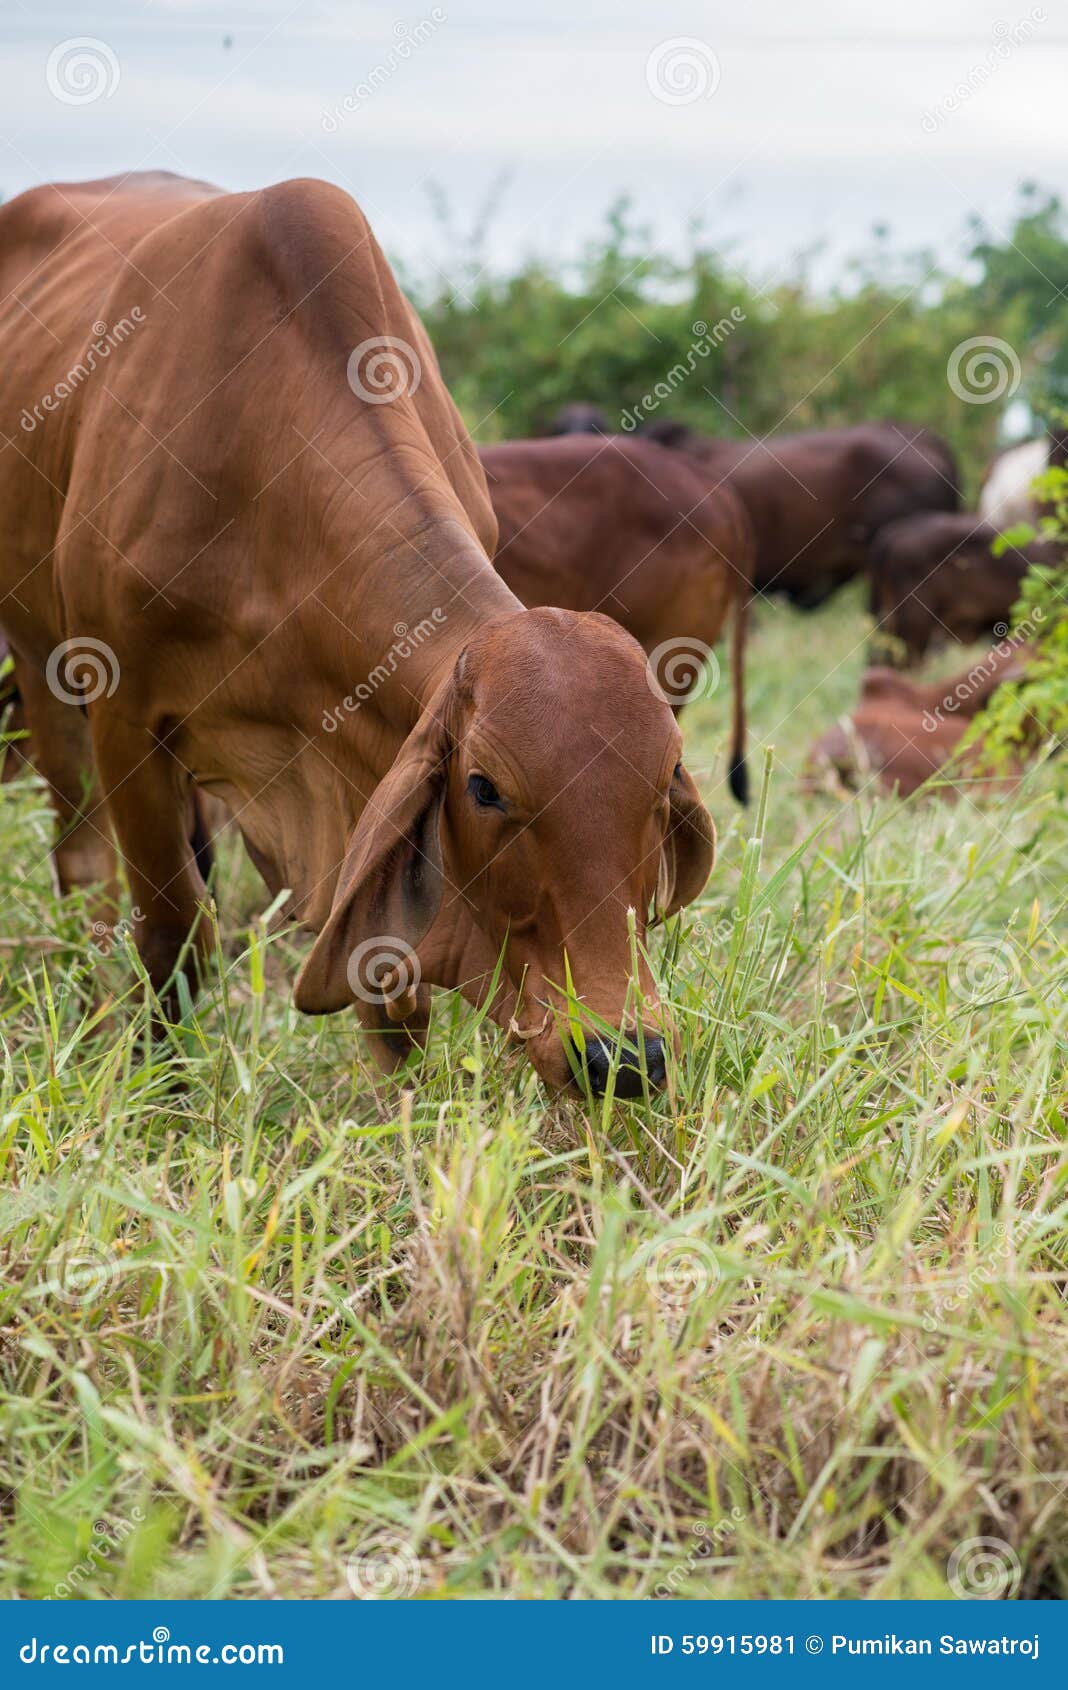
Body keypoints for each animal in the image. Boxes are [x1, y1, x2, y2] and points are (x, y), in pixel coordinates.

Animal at [0, 172, 719, 1097]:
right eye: (485, 788)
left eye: (665, 778)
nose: (623, 1057)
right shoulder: (125, 714)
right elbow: (173, 937)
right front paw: (166, 1095)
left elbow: (390, 989)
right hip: (41, 657)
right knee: (83, 864)